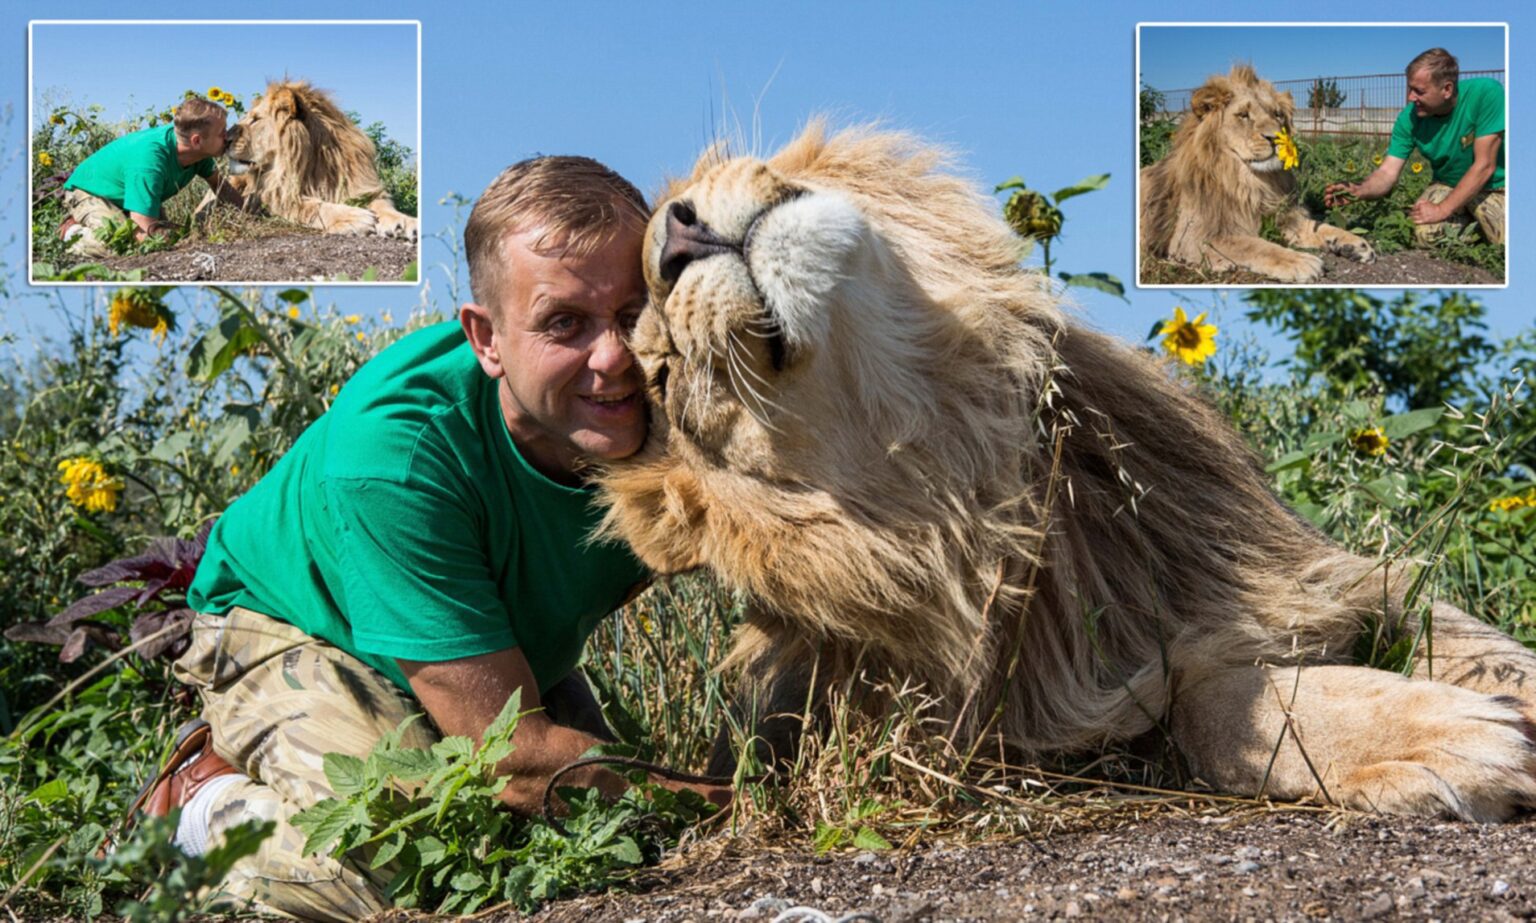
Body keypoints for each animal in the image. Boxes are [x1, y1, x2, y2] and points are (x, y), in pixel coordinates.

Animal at [201, 80, 417, 240]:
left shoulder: (363, 187)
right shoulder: (270, 197)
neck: (313, 164)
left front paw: (408, 222)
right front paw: (354, 217)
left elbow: (384, 206)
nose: (226, 140)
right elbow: (312, 206)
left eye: (255, 120)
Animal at [598, 121, 1536, 822]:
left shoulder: (1313, 569)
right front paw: (1447, 736)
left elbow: (1476, 642)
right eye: (666, 379)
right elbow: (1210, 705)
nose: (674, 238)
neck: (971, 443)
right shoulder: (1050, 727)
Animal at [1140, 65, 1374, 283]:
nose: (1275, 137)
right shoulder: (1190, 238)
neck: (1252, 183)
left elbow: (1318, 227)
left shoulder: (1285, 218)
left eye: (1277, 115)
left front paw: (1356, 244)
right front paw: (1300, 261)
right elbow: (1251, 244)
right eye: (1243, 115)